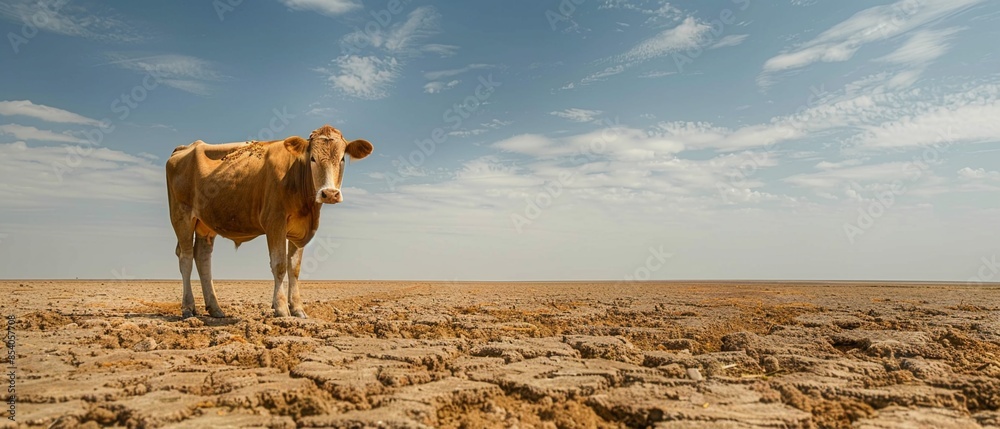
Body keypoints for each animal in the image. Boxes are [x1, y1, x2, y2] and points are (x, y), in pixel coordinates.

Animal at [165, 125, 373, 318]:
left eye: (342, 159)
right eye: (312, 158)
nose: (329, 193)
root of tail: (186, 147)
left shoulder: (298, 230)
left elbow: (294, 268)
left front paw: (297, 309)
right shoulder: (274, 221)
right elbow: (279, 264)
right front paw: (281, 308)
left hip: (206, 222)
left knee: (202, 257)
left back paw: (215, 308)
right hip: (181, 216)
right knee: (186, 257)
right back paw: (188, 308)